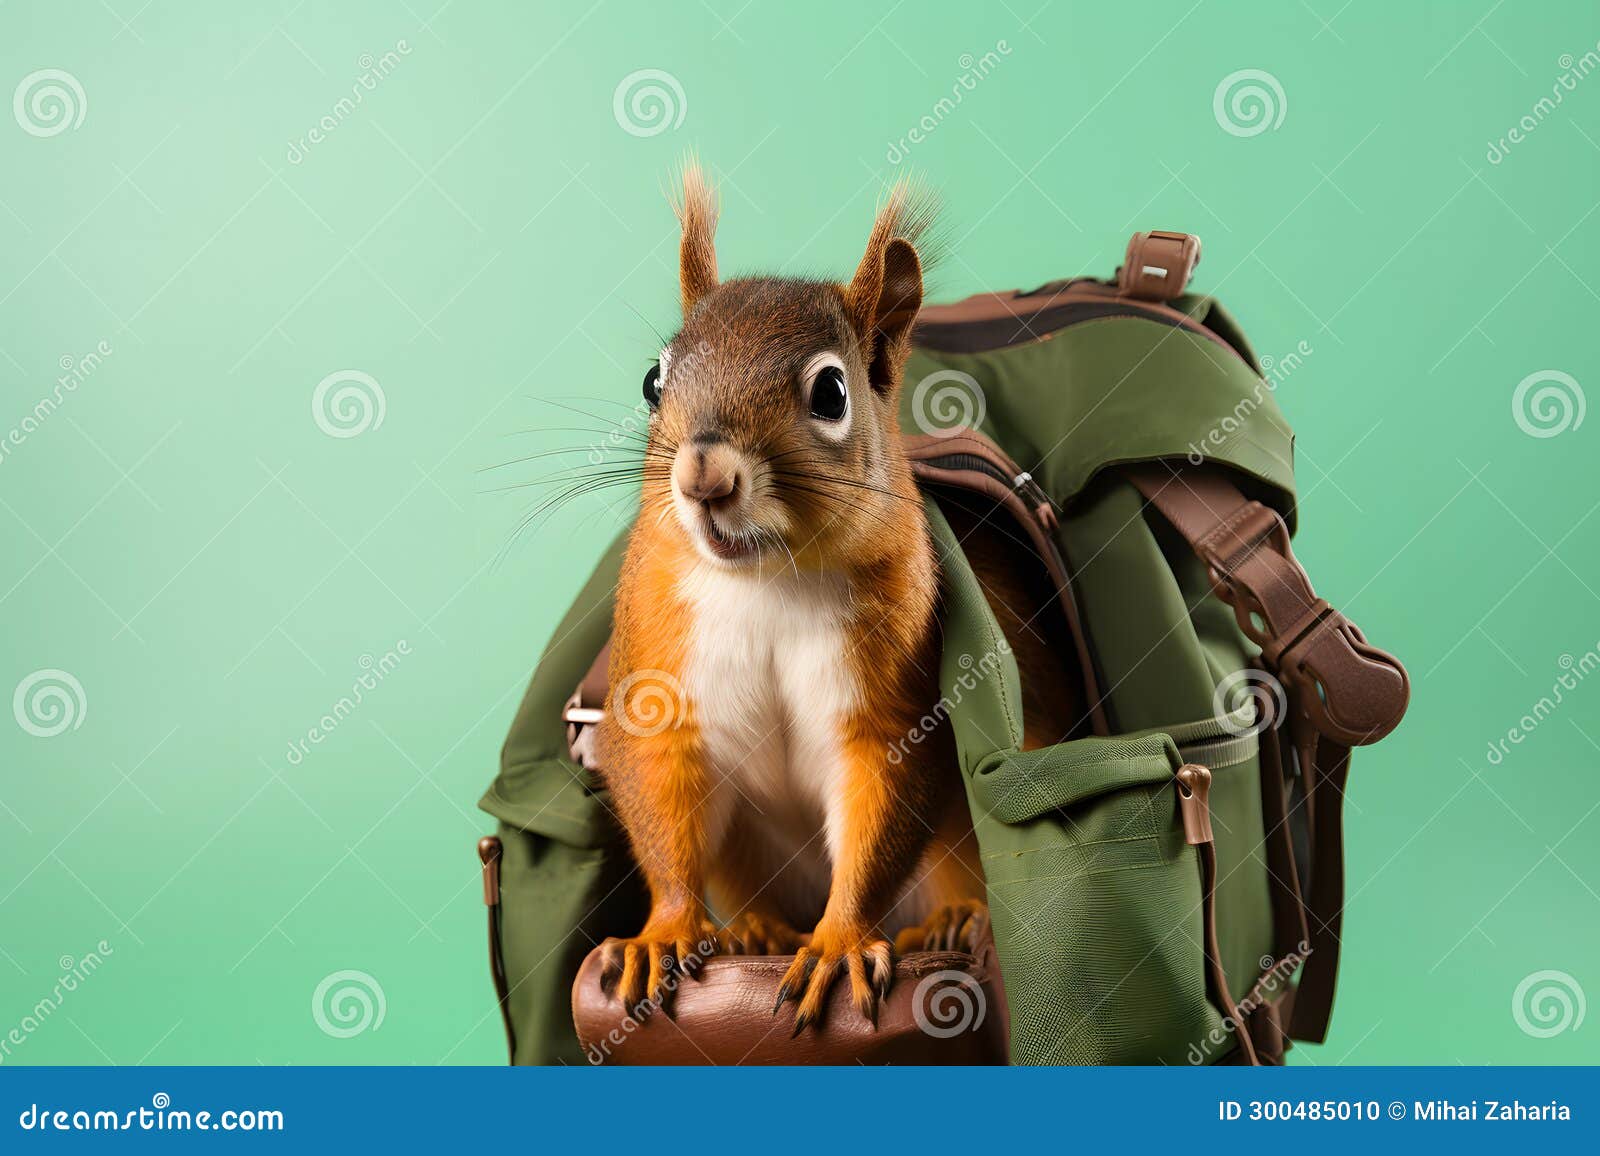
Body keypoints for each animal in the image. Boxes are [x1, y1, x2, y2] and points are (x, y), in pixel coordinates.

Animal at [593, 164, 1078, 1034]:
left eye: (830, 393)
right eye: (653, 380)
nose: (705, 476)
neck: (769, 579)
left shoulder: (894, 706)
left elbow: (882, 805)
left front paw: (842, 940)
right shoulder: (657, 669)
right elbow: (658, 787)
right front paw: (664, 931)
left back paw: (955, 921)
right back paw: (754, 929)